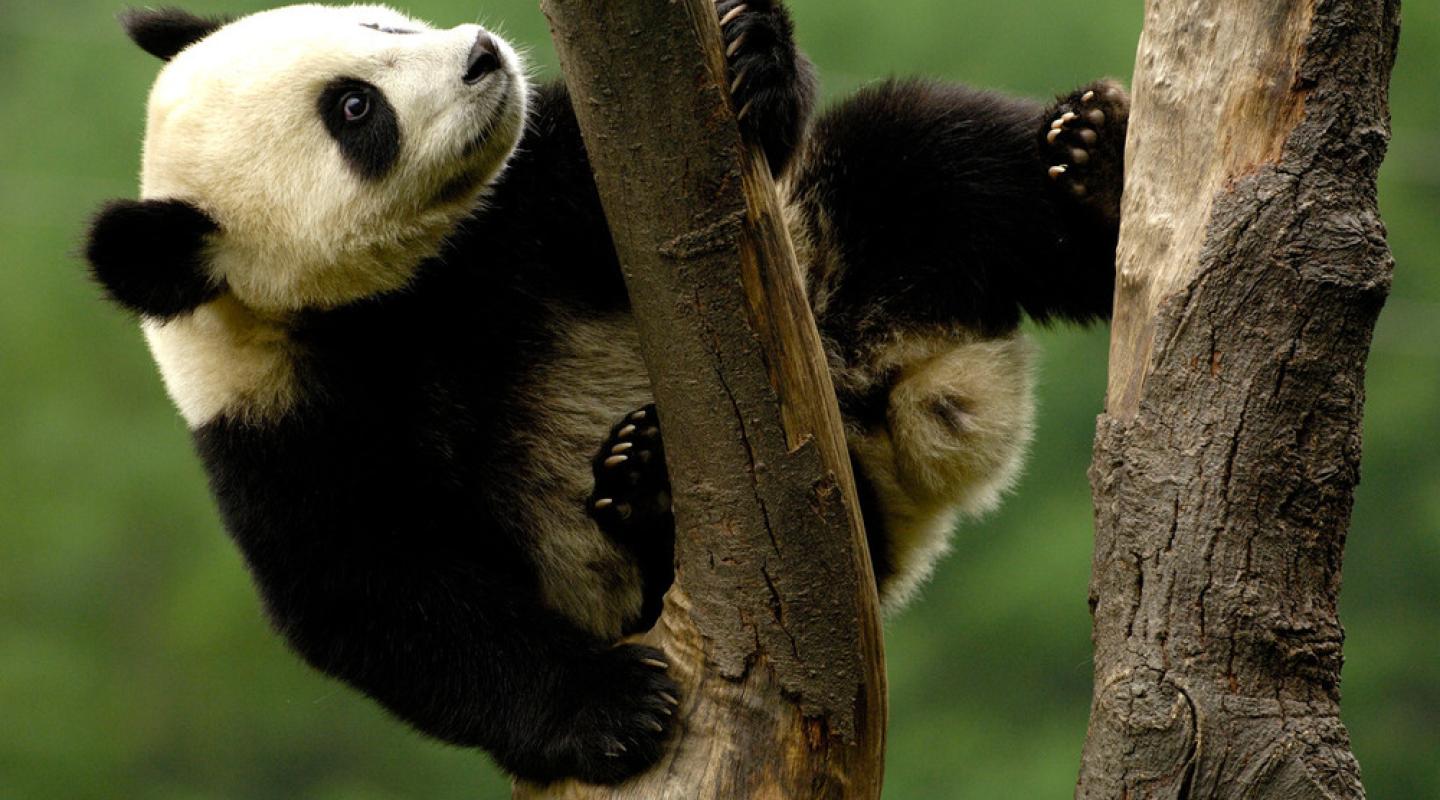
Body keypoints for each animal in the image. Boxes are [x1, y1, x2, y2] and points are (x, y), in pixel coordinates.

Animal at [84, 1, 1126, 785]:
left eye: (375, 23)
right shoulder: (285, 421)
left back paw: (1099, 175)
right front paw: (616, 708)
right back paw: (645, 487)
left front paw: (752, 52)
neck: (403, 291)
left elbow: (629, 183)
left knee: (928, 159)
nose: (482, 56)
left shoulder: (525, 201)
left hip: (826, 245)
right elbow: (372, 593)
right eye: (354, 110)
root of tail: (906, 410)